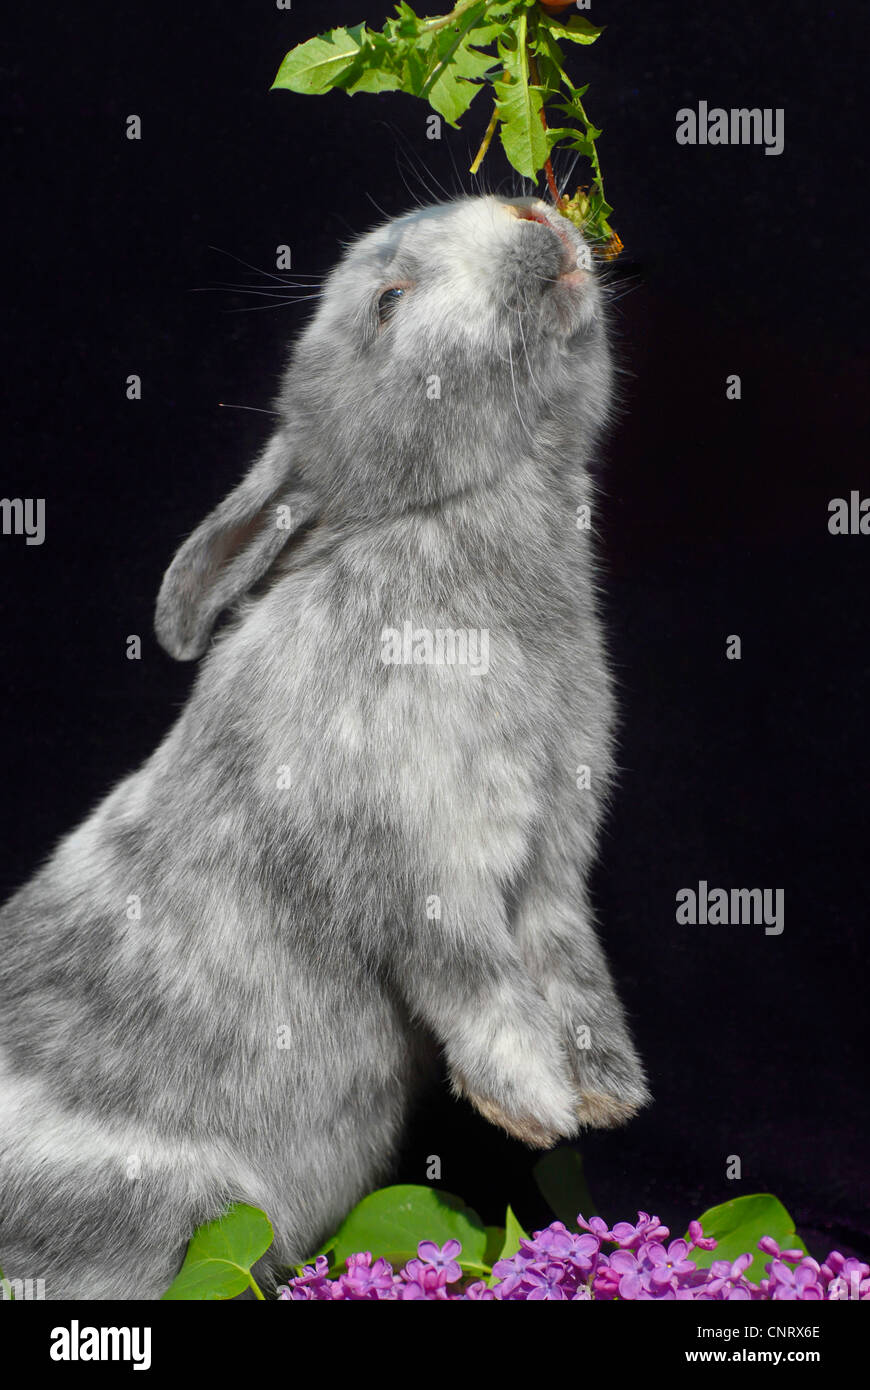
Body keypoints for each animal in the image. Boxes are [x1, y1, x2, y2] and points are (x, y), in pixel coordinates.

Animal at [0, 193, 650, 1301]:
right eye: (388, 303)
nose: (530, 206)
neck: (449, 516)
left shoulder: (552, 868)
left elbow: (572, 968)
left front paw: (606, 1093)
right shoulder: (421, 867)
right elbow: (478, 980)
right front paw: (533, 1105)